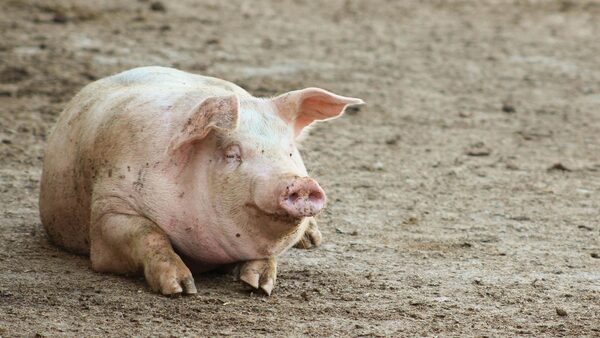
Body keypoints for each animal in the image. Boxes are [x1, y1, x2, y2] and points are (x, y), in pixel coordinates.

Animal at [39, 64, 364, 294]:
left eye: (291, 151)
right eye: (232, 154)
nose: (301, 183)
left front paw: (259, 286)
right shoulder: (108, 208)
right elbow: (148, 233)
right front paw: (182, 289)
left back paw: (313, 240)